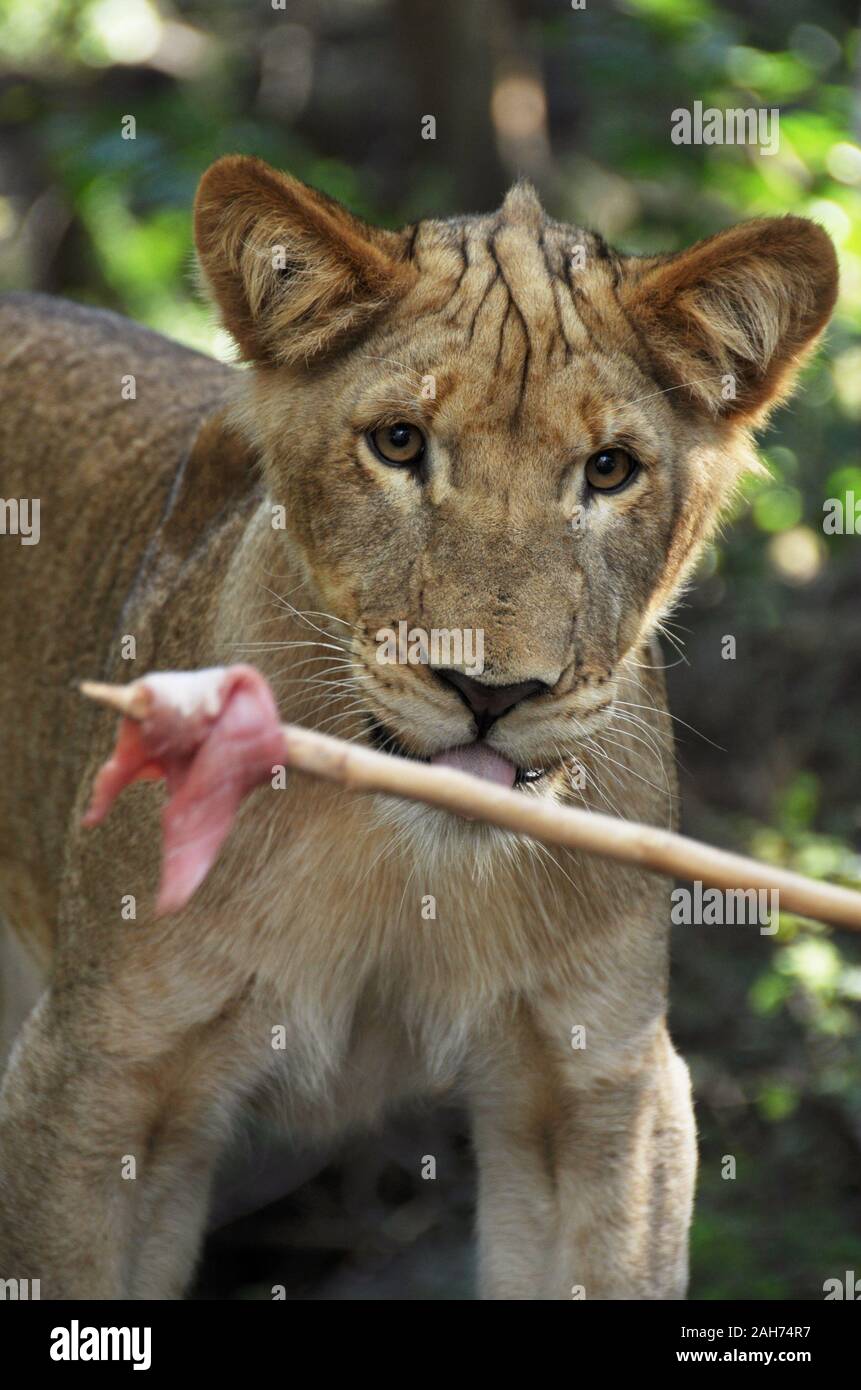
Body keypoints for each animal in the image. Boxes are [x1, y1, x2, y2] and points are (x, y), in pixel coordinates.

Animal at [0, 157, 837, 1298]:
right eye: (400, 442)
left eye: (609, 468)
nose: (491, 692)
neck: (410, 870)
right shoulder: (98, 1075)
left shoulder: (600, 1088)